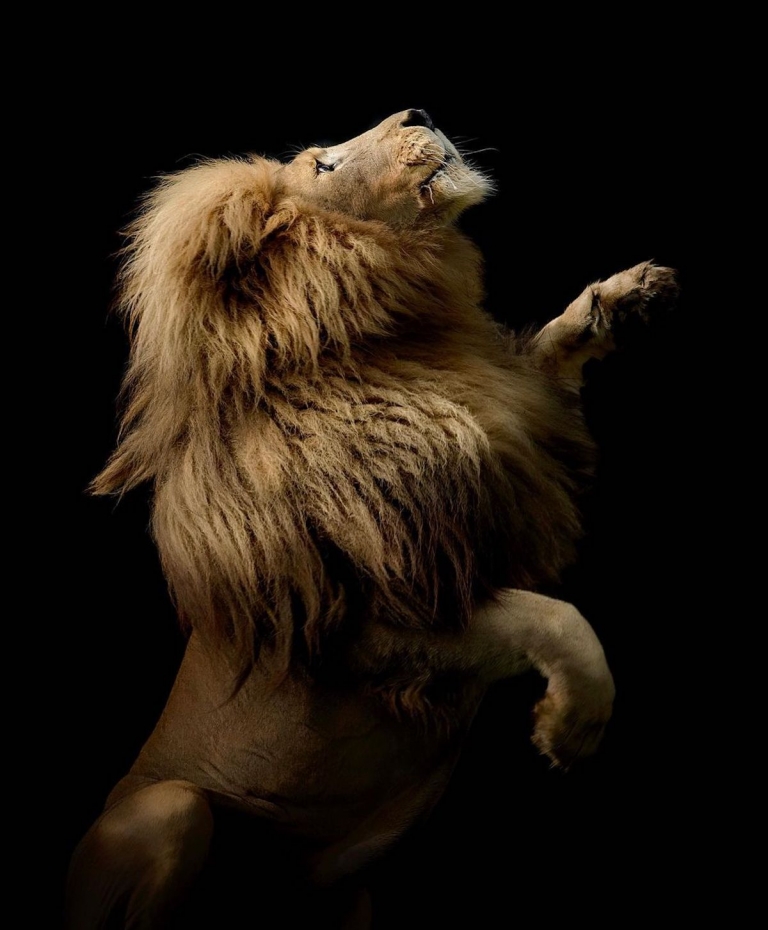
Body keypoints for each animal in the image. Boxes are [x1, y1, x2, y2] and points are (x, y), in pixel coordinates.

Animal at [66, 109, 678, 929]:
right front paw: (573, 722)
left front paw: (624, 295)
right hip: (170, 809)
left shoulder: (517, 434)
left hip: (351, 899)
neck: (397, 338)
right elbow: (550, 616)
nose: (417, 113)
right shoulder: (375, 618)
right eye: (323, 166)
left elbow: (550, 350)